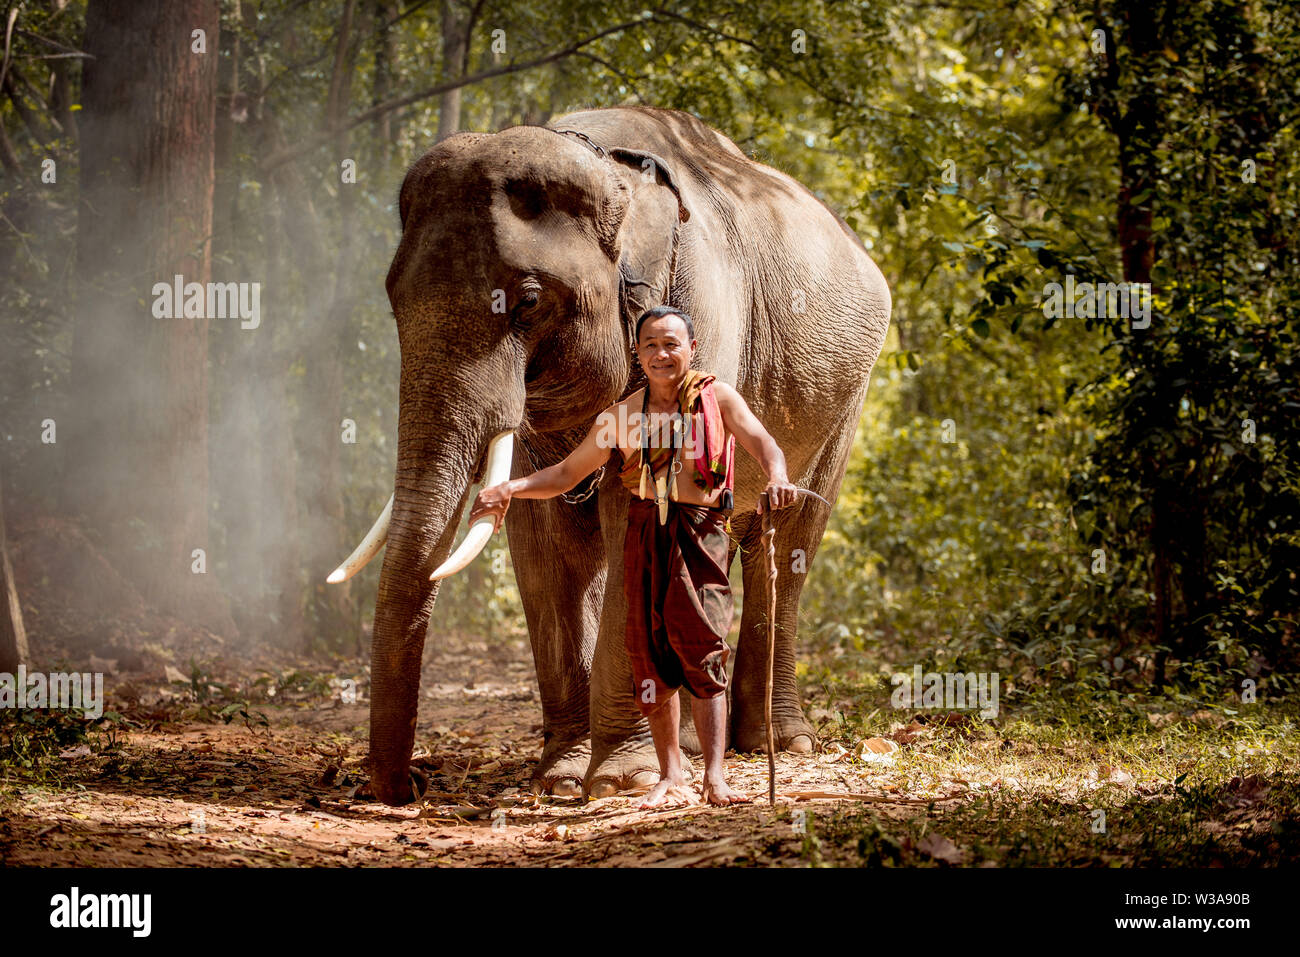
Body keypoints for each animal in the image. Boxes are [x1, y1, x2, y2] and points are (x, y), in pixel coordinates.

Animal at [330, 105, 891, 806]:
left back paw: (778, 743)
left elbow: (634, 518)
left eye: (529, 300)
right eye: (391, 298)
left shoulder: (706, 308)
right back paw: (708, 742)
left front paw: (621, 779)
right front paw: (564, 774)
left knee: (788, 545)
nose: (406, 786)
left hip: (849, 397)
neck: (605, 167)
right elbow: (546, 538)